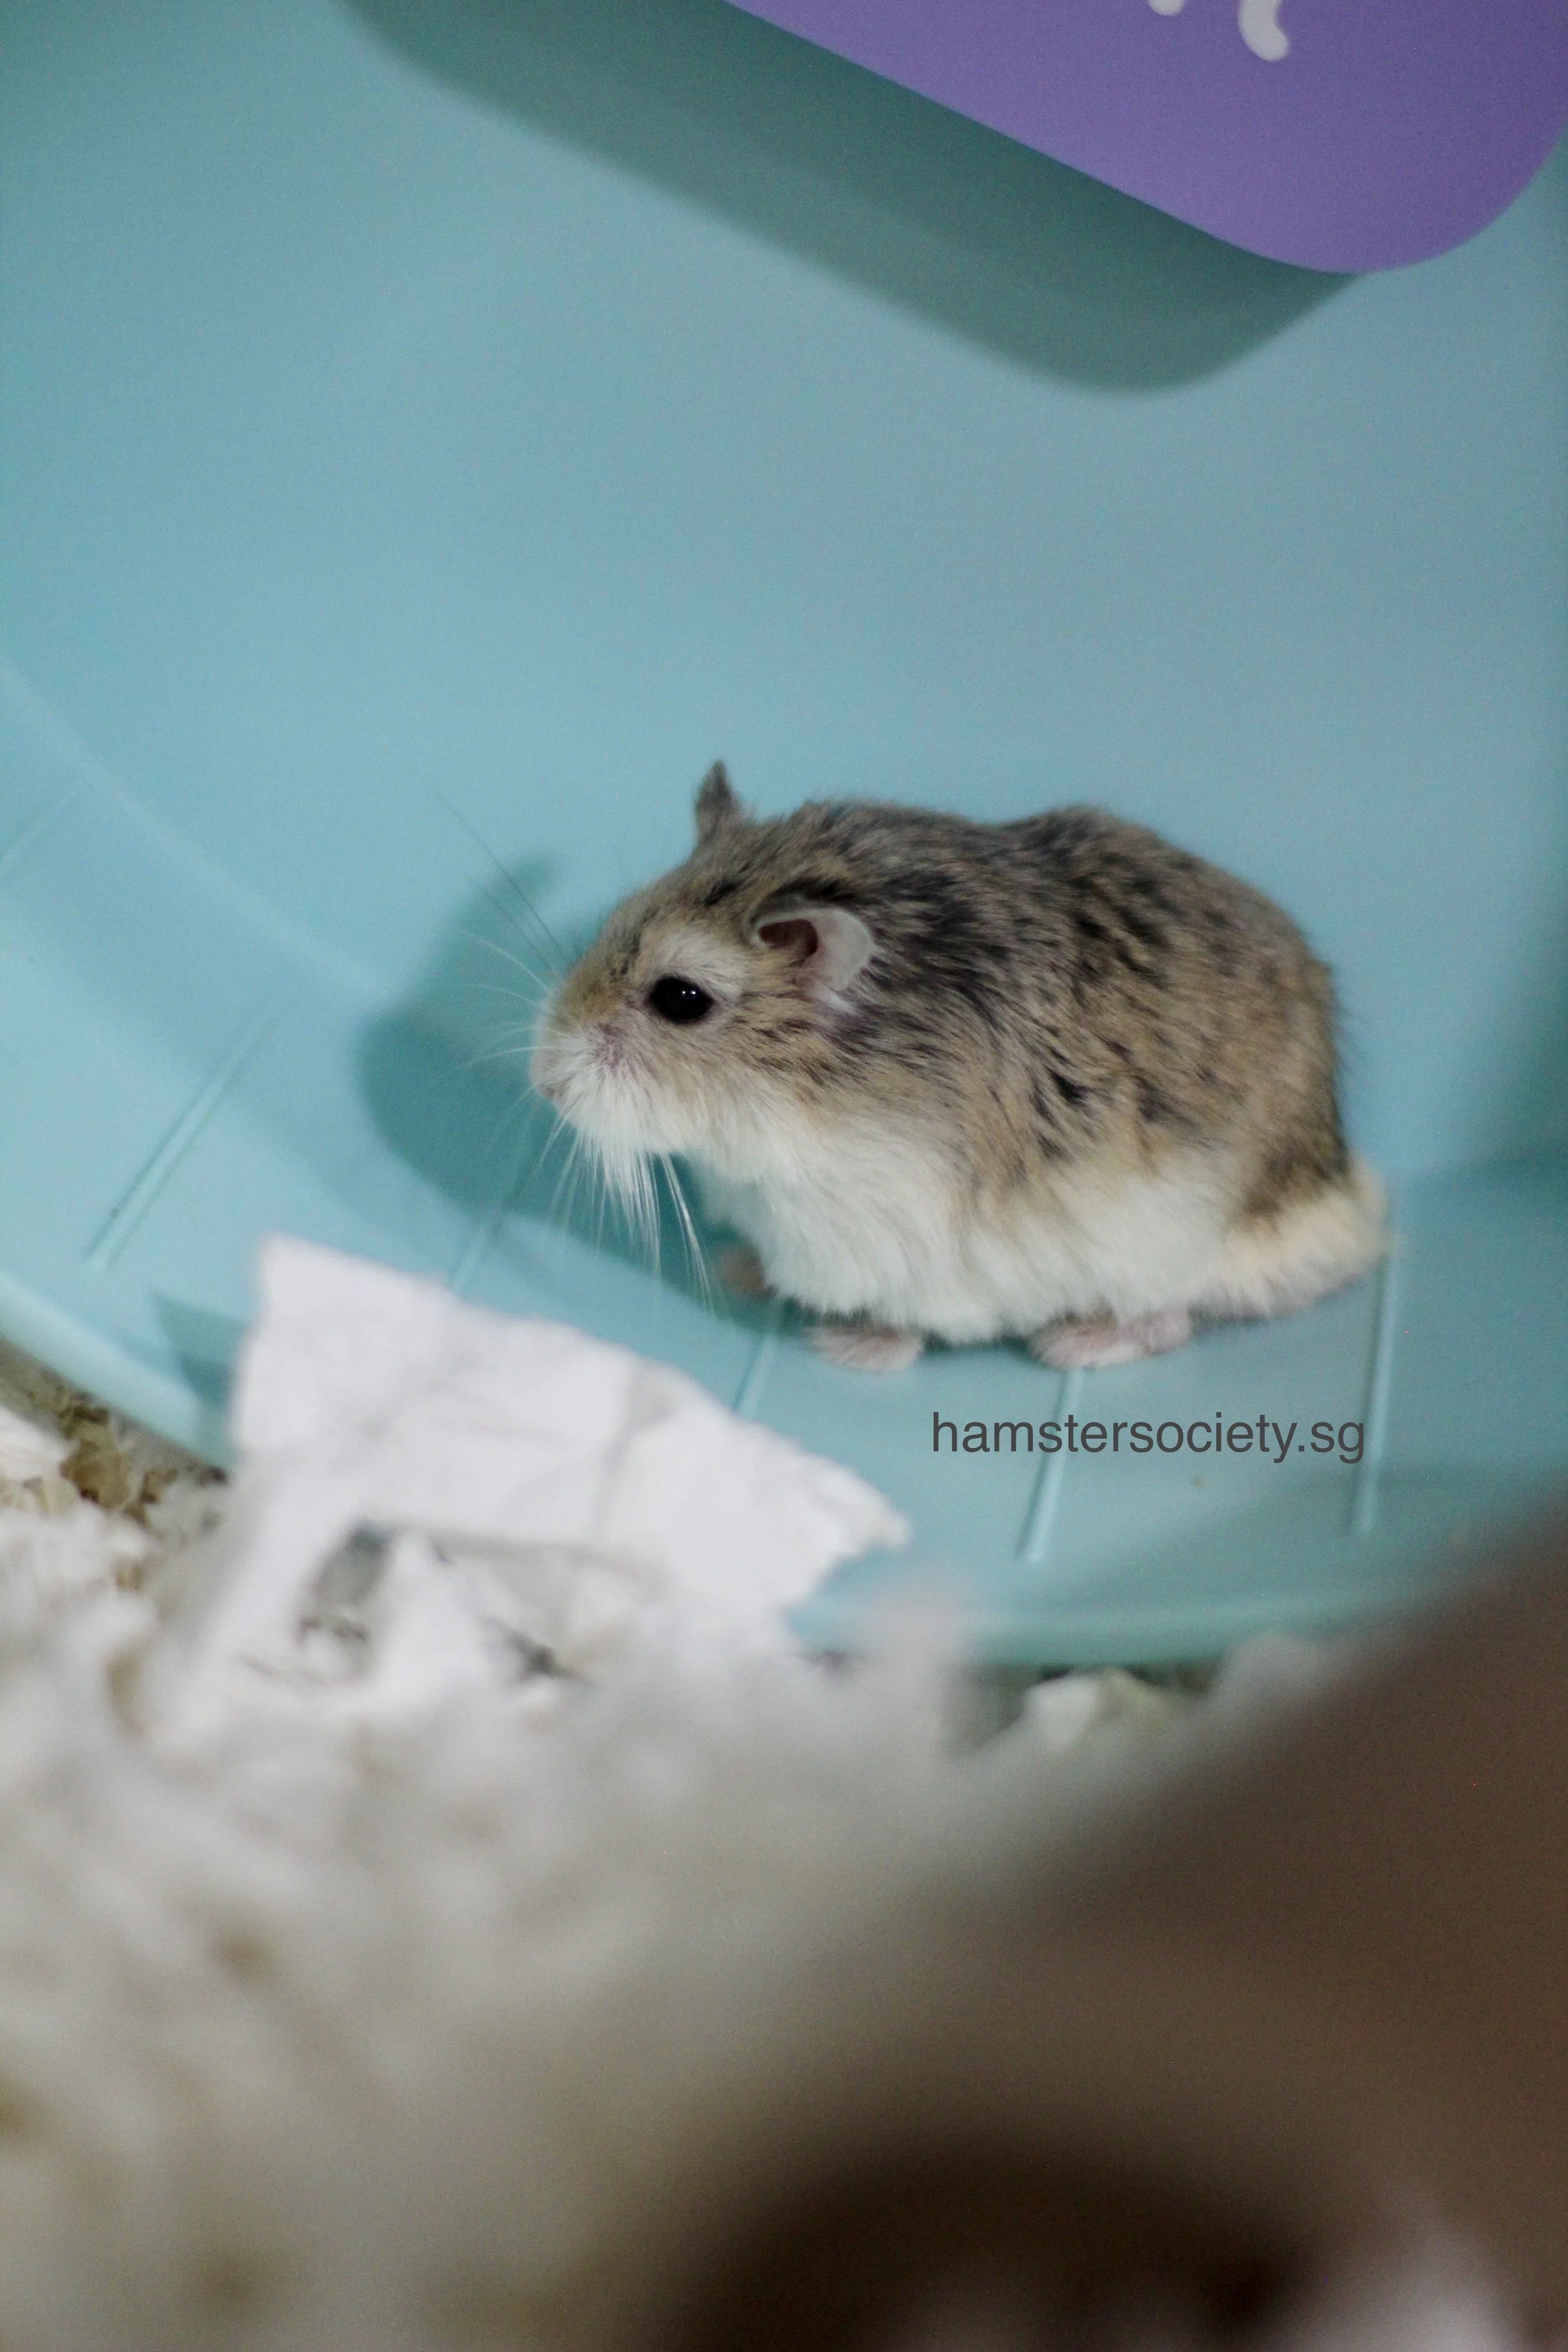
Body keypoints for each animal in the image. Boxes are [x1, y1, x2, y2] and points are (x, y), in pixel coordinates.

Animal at [530, 766, 1385, 1372]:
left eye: (680, 999)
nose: (543, 1082)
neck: (785, 1107)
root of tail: (1344, 1201)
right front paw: (743, 1267)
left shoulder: (889, 1239)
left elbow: (904, 1323)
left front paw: (846, 1348)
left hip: (1173, 1249)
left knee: (1168, 1321)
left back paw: (1070, 1344)